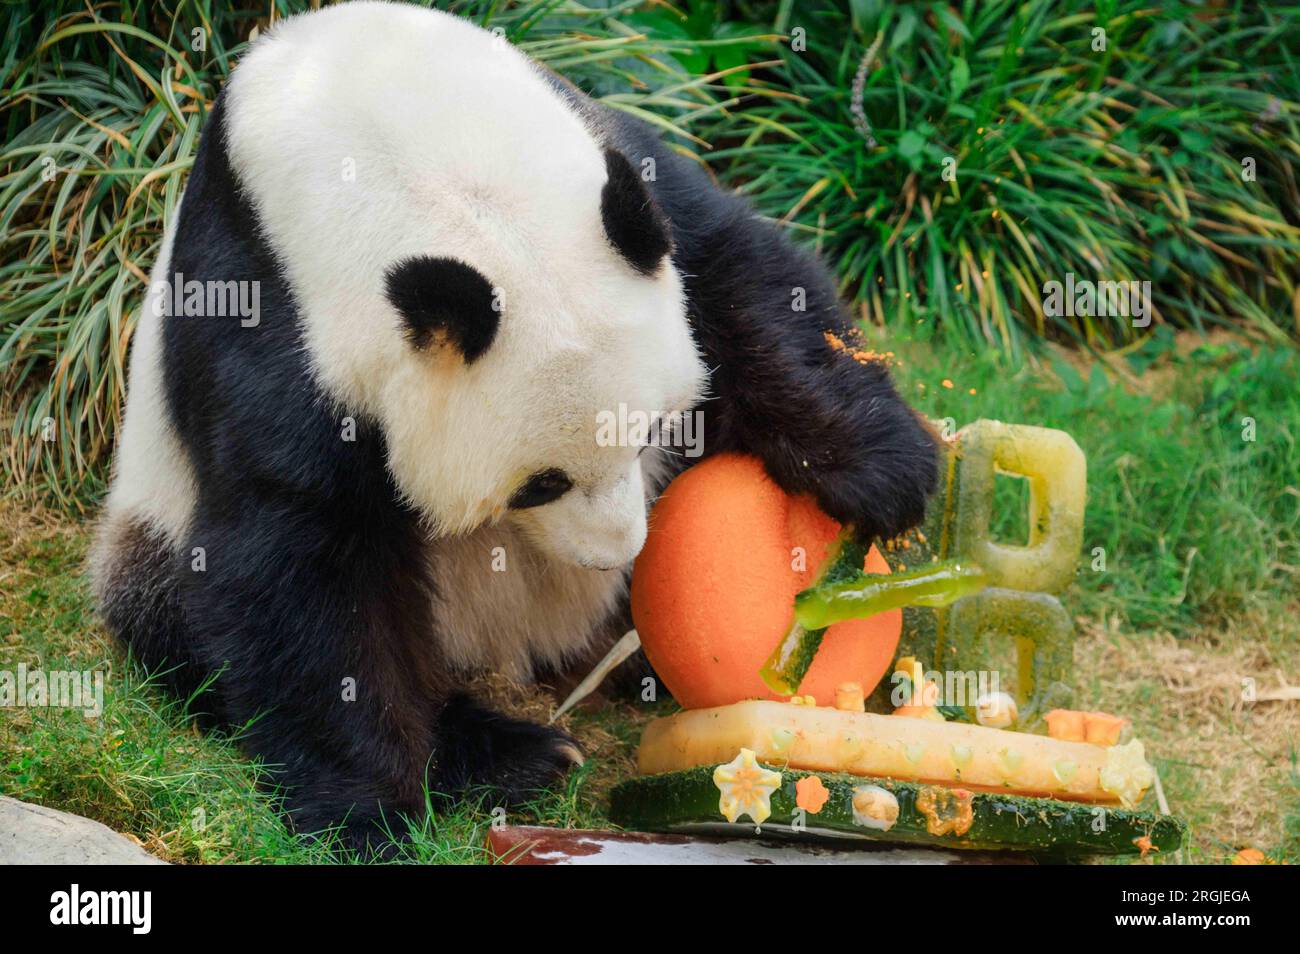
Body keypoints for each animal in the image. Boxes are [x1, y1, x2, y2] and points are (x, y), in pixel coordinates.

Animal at [92, 1, 938, 852]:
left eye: (650, 433)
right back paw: (513, 752)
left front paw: (881, 473)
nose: (618, 555)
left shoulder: (620, 157)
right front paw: (367, 817)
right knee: (176, 616)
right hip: (149, 524)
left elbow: (743, 275)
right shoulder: (266, 301)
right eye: (541, 485)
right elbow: (300, 557)